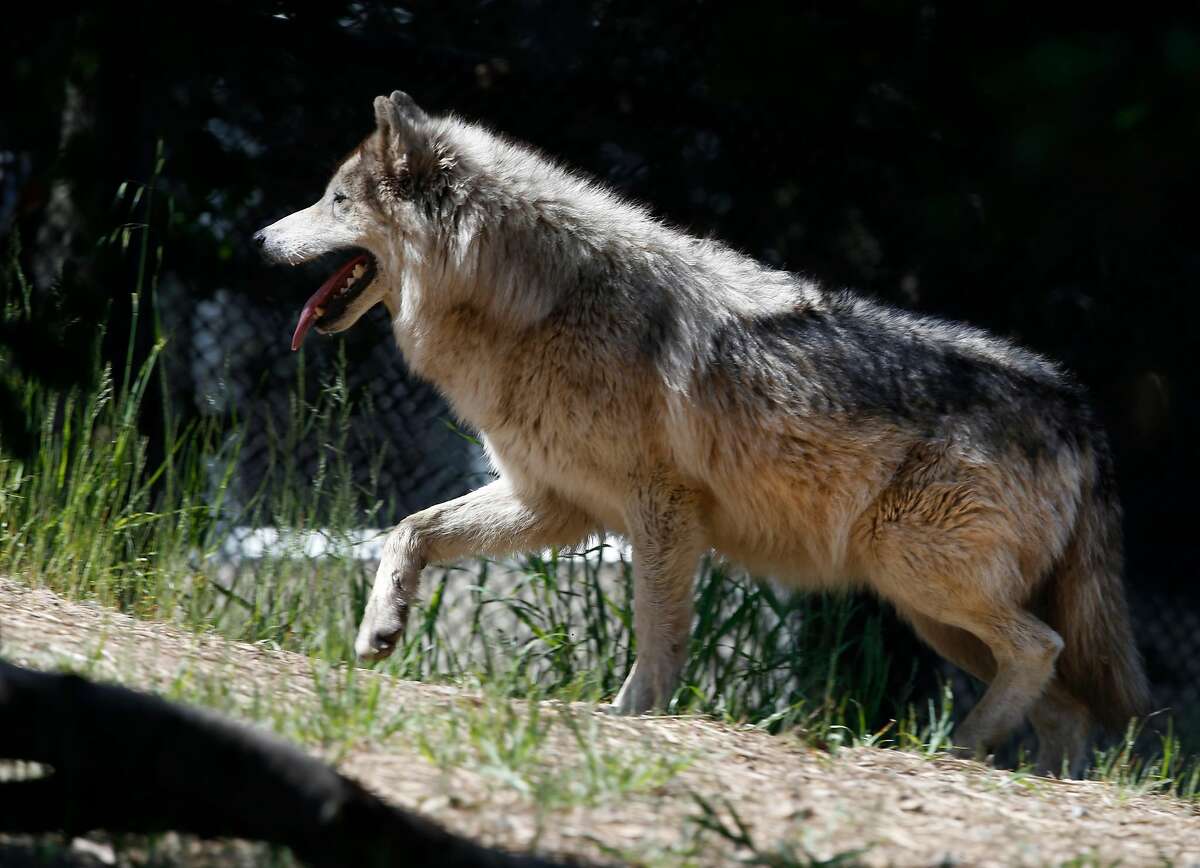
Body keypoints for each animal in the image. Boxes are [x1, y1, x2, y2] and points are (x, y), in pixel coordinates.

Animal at [255, 91, 1149, 775]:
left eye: (335, 201)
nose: (259, 239)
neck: (541, 303)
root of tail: (1075, 403)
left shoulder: (663, 513)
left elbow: (657, 637)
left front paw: (627, 719)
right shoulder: (551, 502)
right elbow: (409, 529)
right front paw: (380, 627)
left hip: (919, 578)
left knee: (1041, 651)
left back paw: (963, 749)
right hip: (932, 612)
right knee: (1064, 695)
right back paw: (1039, 779)